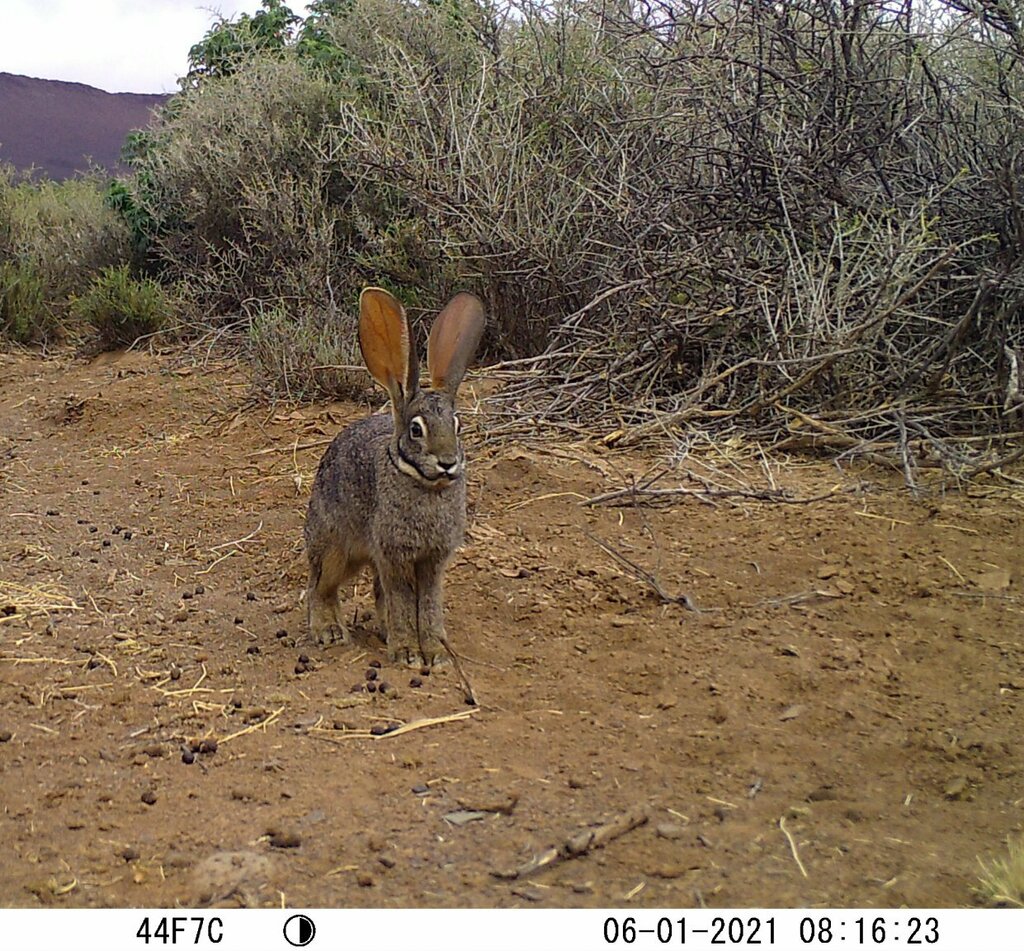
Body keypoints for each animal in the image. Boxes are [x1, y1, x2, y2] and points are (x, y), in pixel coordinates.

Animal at [304, 287, 485, 667]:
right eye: (416, 430)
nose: (448, 463)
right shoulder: (393, 554)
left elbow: (427, 604)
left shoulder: (432, 560)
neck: (422, 481)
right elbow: (402, 600)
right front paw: (407, 653)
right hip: (334, 548)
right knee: (320, 585)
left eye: (458, 426)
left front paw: (434, 652)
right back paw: (329, 632)